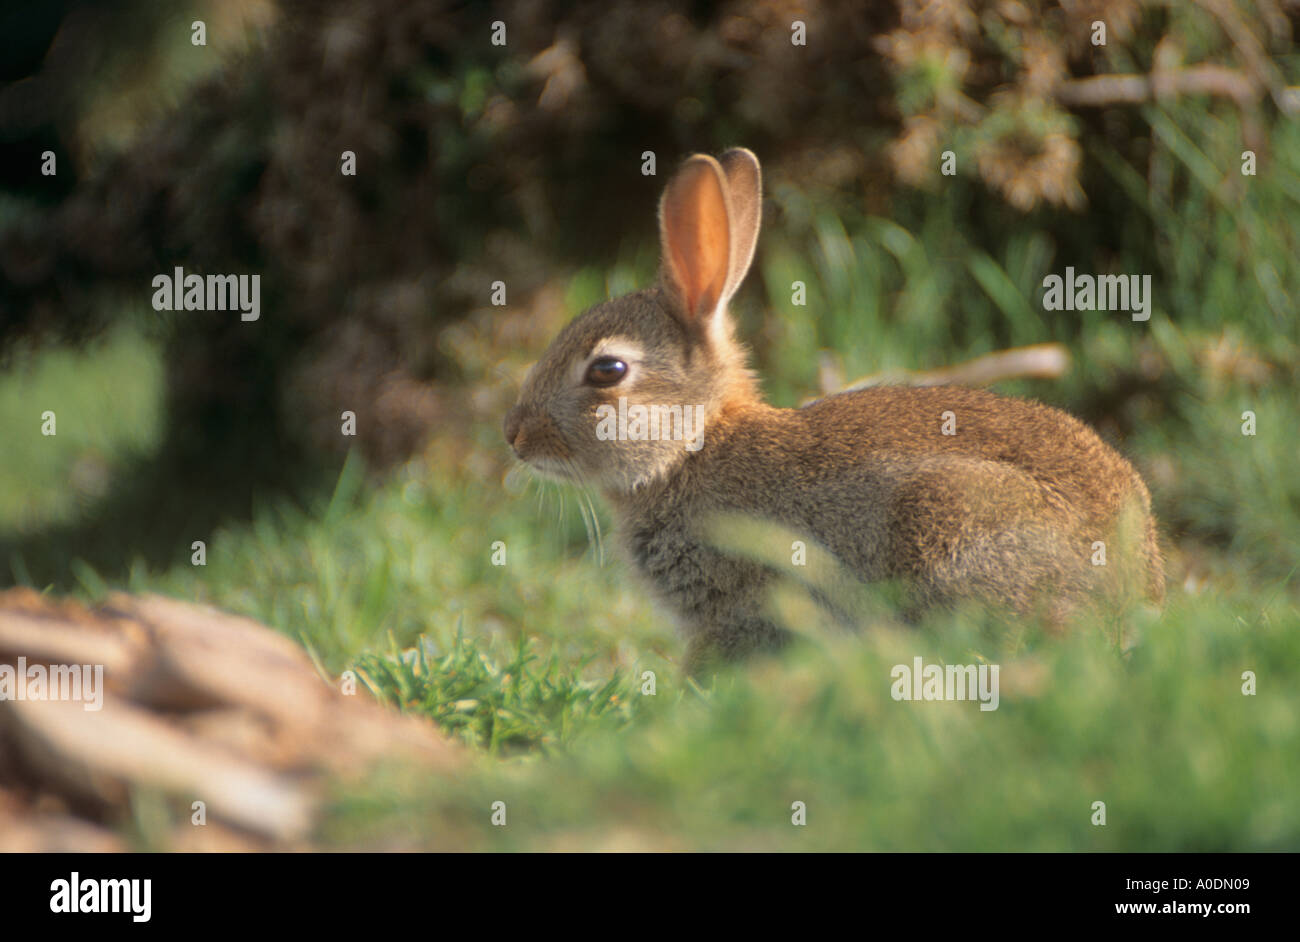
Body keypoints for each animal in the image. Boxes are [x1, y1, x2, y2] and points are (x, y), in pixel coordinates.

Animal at [504, 148, 1164, 672]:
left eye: (607, 371)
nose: (514, 435)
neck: (692, 448)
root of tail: (1135, 588)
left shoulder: (742, 601)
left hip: (949, 523)